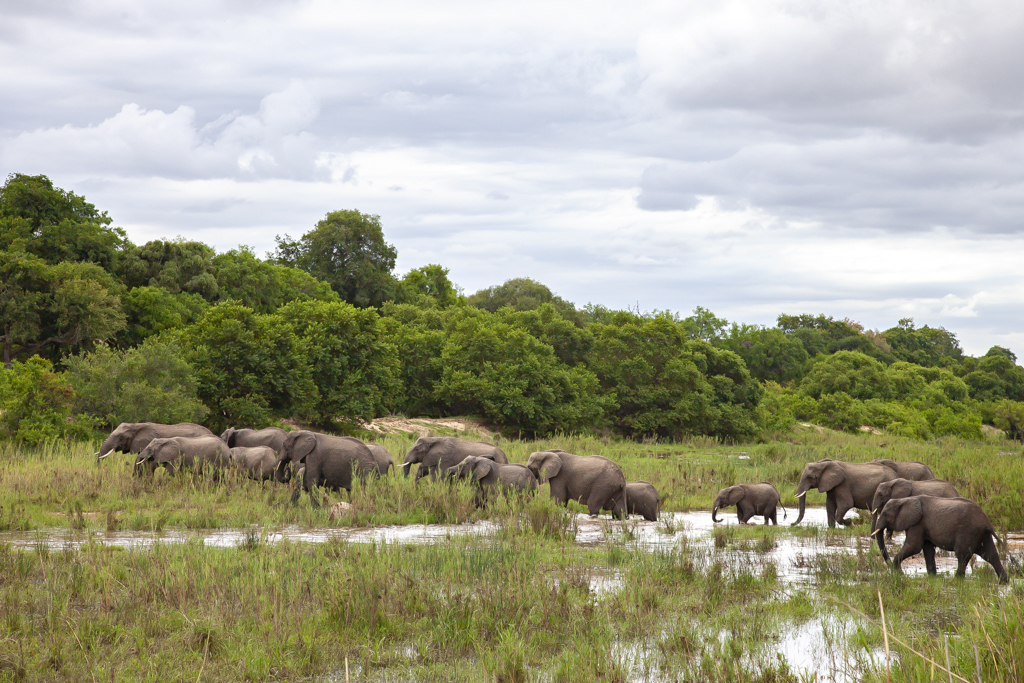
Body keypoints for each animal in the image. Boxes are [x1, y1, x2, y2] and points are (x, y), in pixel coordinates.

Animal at [872, 496, 1007, 583]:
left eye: (885, 514)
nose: (899, 572)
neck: (905, 499)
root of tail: (986, 521)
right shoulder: (922, 525)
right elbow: (928, 549)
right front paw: (932, 577)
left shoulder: (917, 523)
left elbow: (914, 547)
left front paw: (899, 574)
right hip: (981, 533)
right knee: (990, 554)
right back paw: (1003, 581)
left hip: (968, 531)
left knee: (962, 554)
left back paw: (956, 580)